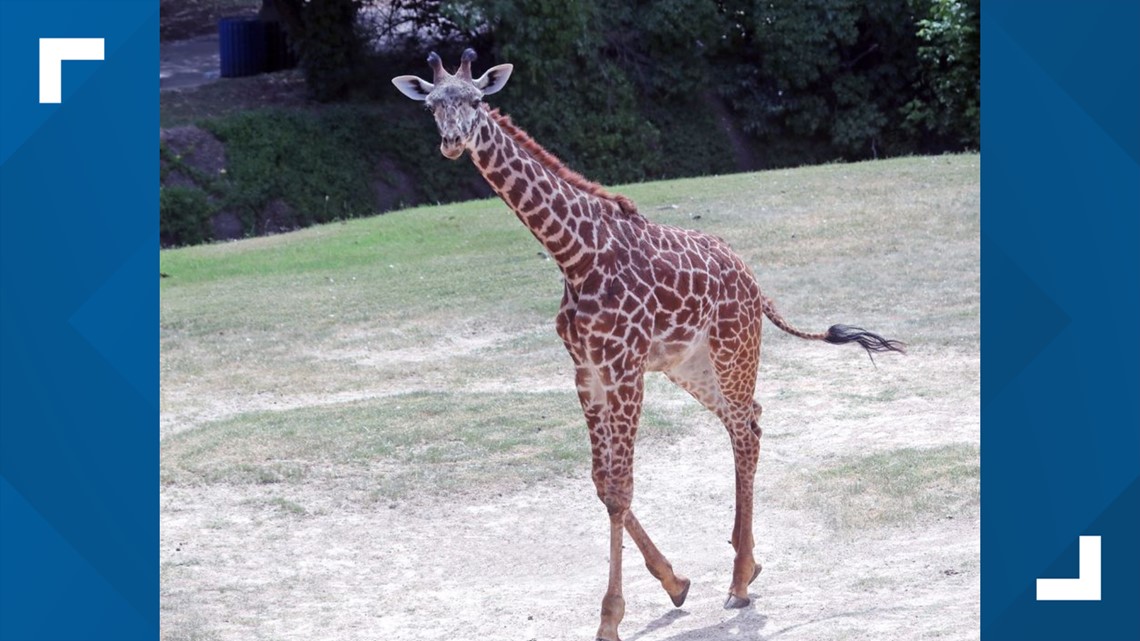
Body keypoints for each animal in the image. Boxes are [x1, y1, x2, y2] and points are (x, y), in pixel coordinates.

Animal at [393, 49, 905, 641]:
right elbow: (601, 483)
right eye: (431, 105)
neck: (574, 255)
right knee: (747, 421)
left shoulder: (624, 366)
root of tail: (755, 283)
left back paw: (739, 581)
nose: (453, 141)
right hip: (692, 365)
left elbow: (620, 487)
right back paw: (748, 564)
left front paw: (610, 619)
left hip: (733, 349)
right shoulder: (586, 370)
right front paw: (674, 582)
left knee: (746, 430)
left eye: (476, 100)